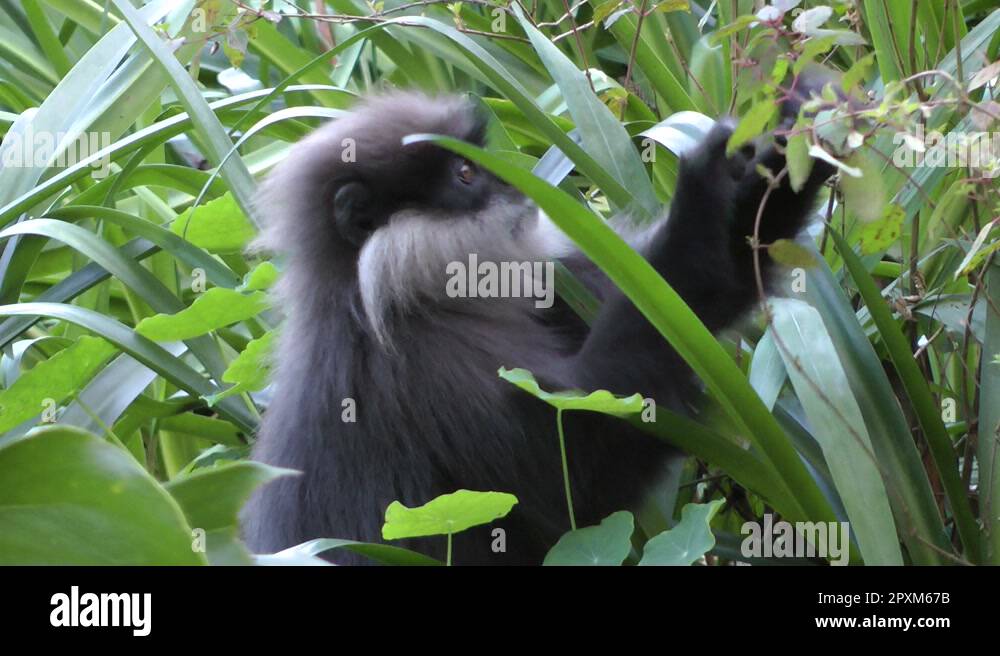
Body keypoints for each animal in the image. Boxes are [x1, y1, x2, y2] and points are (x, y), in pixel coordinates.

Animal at [241, 87, 834, 565]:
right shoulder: (418, 366)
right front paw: (708, 180)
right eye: (465, 174)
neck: (392, 295)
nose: (518, 182)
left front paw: (795, 130)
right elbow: (576, 470)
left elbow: (716, 291)